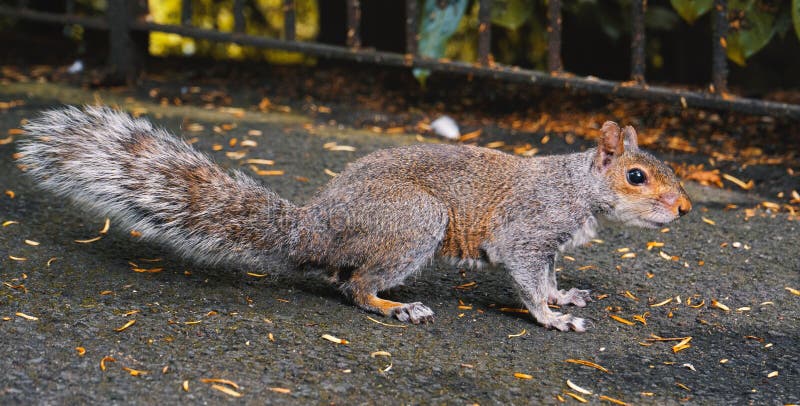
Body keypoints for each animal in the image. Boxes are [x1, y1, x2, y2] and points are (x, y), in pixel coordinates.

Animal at [18, 106, 691, 332]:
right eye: (637, 176)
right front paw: (550, 318)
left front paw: (564, 297)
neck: (577, 187)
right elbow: (526, 278)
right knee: (354, 286)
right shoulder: (526, 231)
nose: (684, 207)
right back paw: (395, 306)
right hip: (415, 221)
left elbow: (548, 276)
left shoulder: (549, 245)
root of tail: (312, 228)